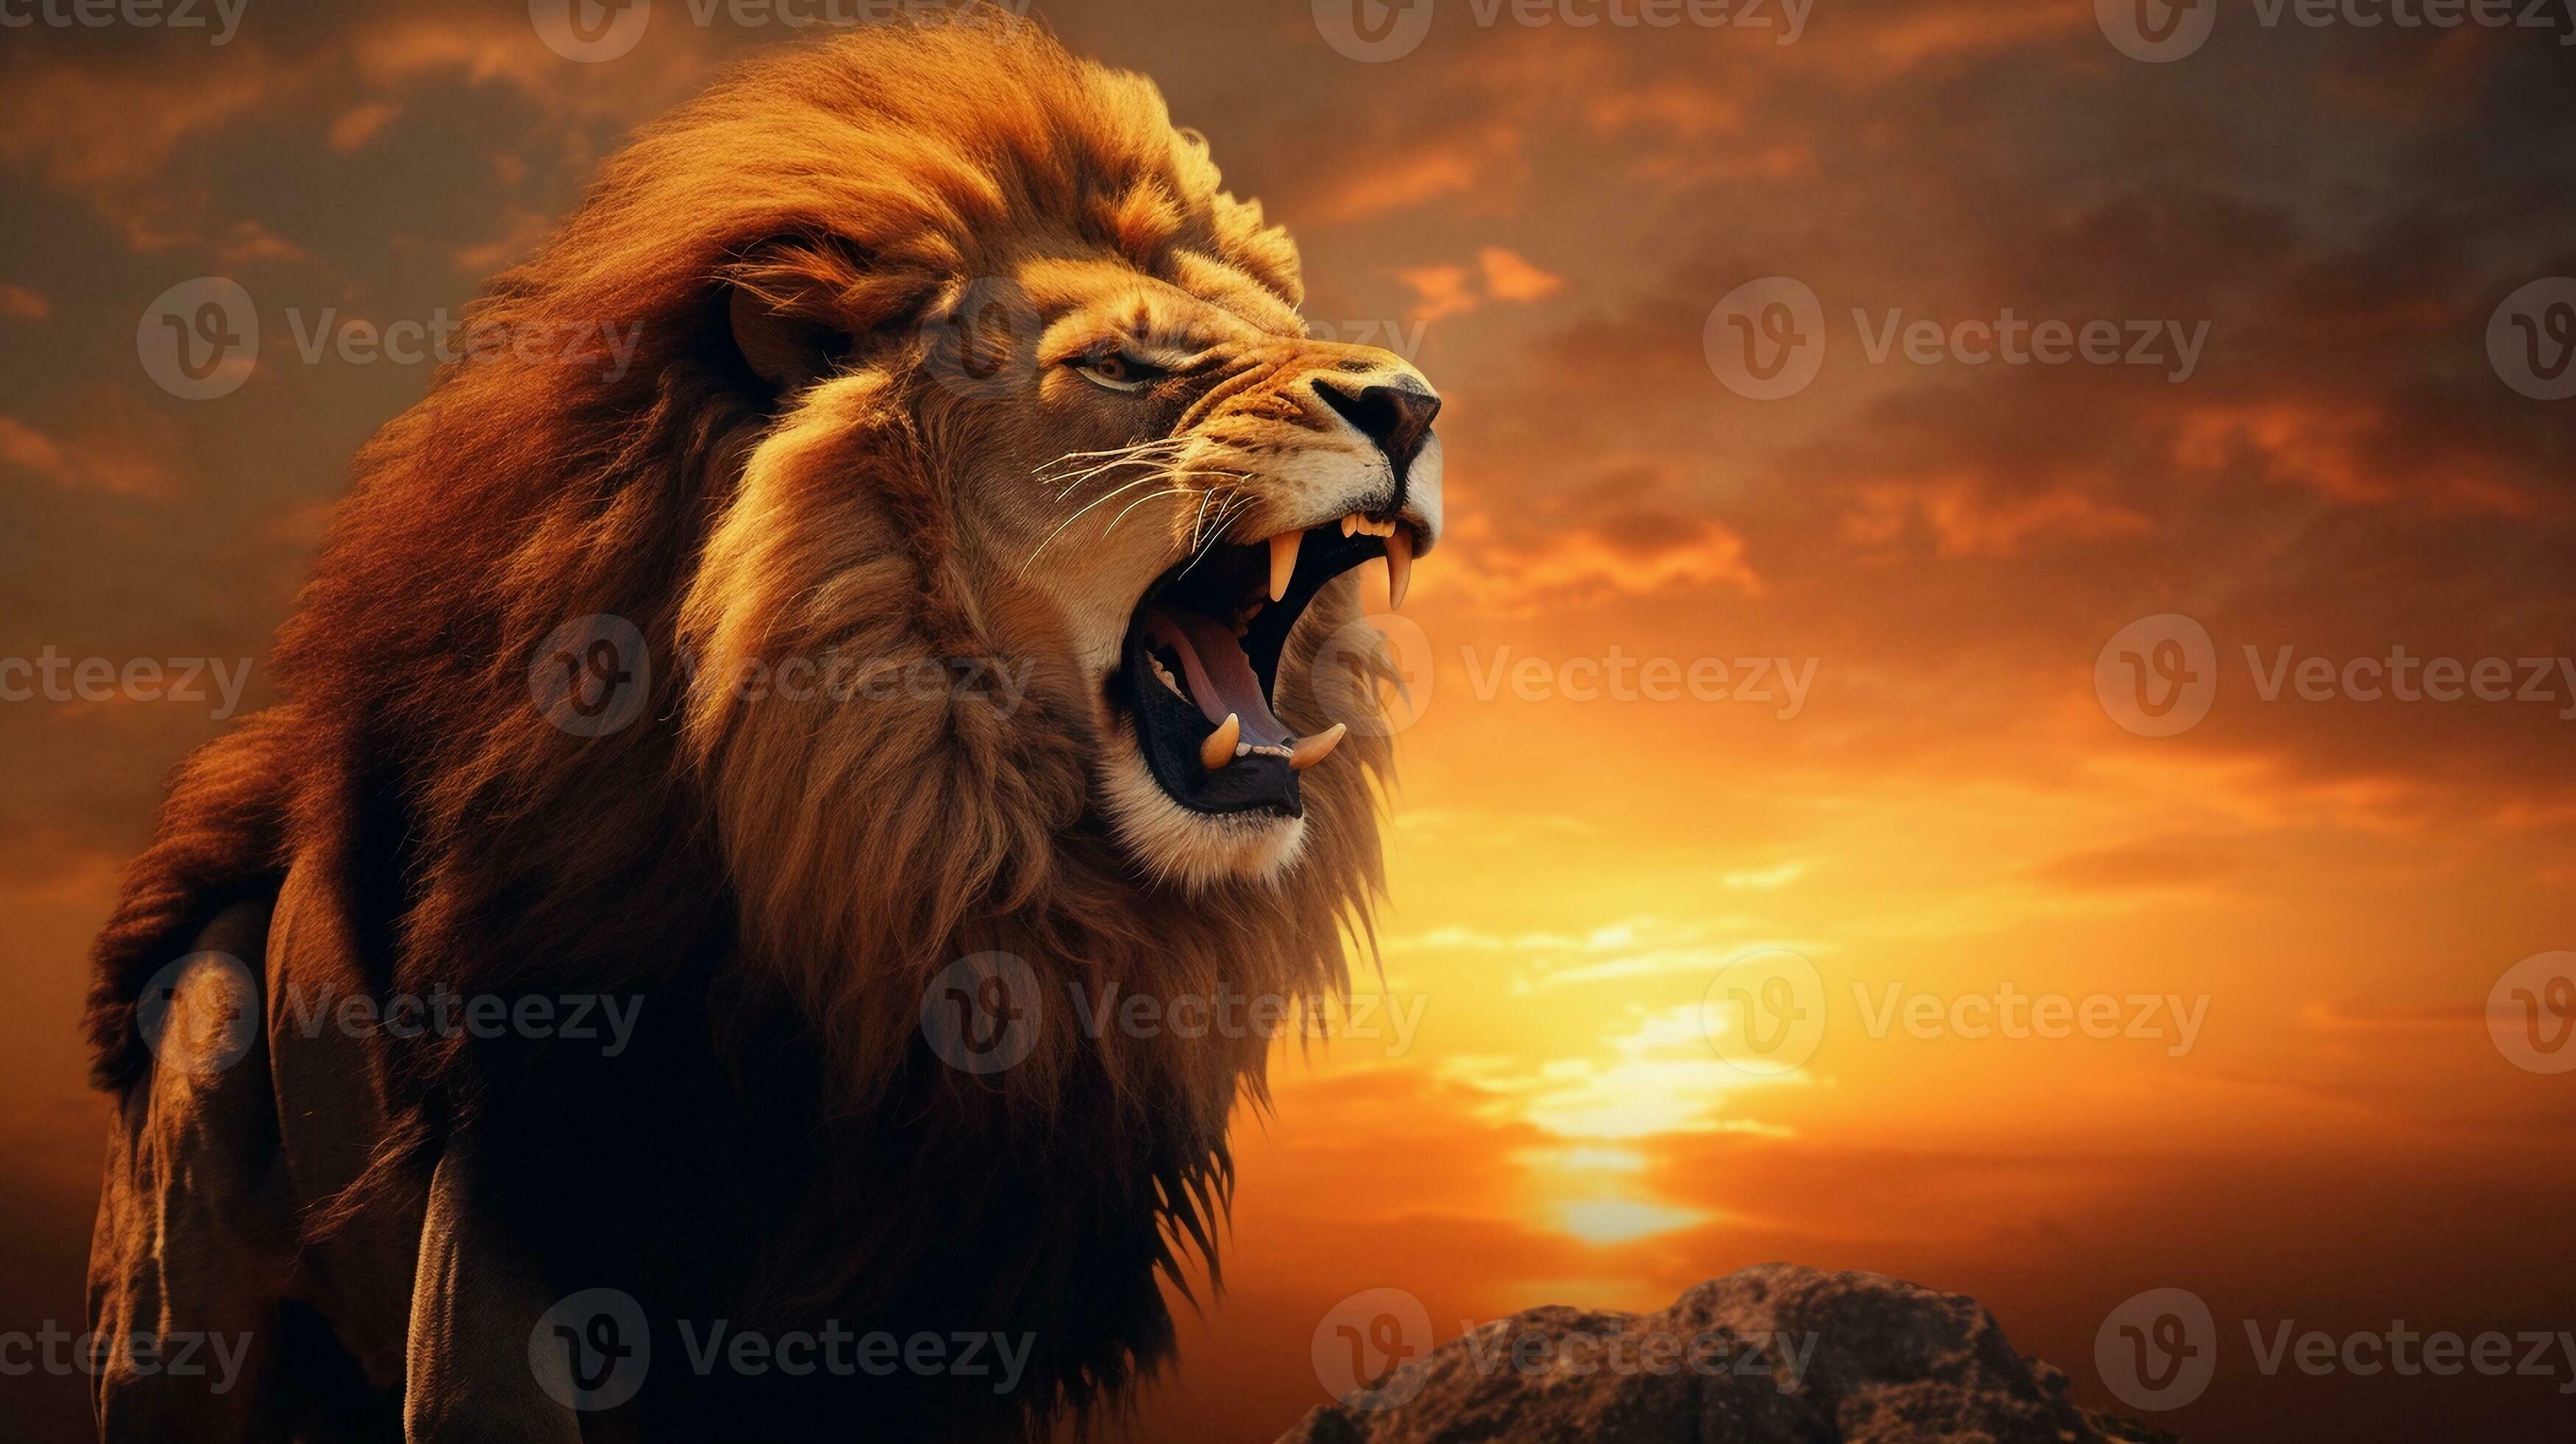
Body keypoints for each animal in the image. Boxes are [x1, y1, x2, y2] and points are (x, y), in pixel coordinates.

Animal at [80, 16, 1442, 1441]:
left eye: (1281, 333)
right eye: (1125, 364)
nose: (1412, 404)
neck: (928, 872)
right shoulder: (494, 1285)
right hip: (179, 1329)